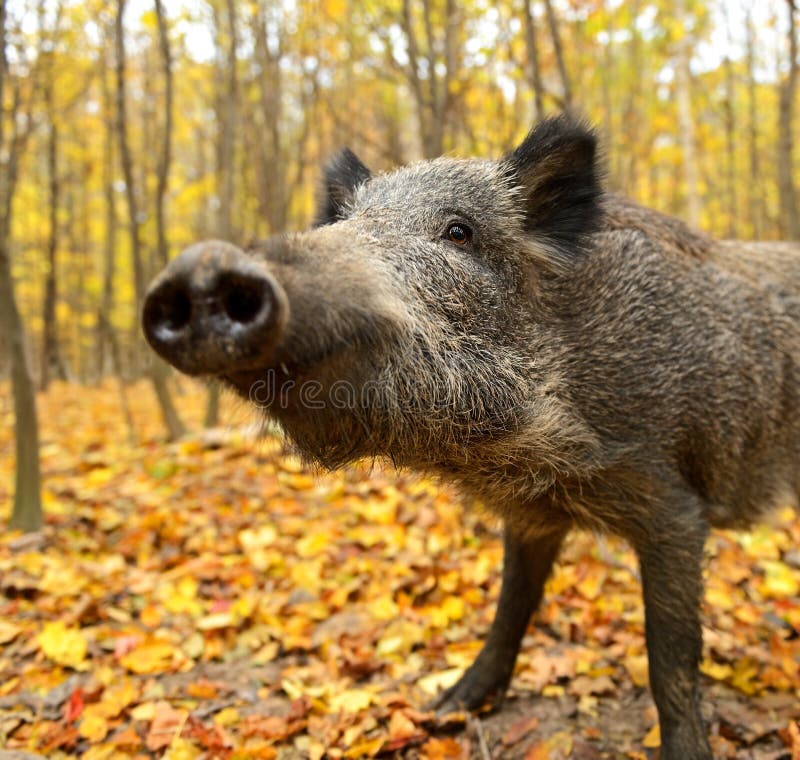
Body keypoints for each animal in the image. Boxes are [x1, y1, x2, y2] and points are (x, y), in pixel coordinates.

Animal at [142, 115, 800, 760]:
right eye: (348, 221)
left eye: (459, 232)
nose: (202, 268)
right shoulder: (535, 515)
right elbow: (511, 607)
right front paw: (446, 707)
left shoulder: (674, 508)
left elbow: (671, 659)